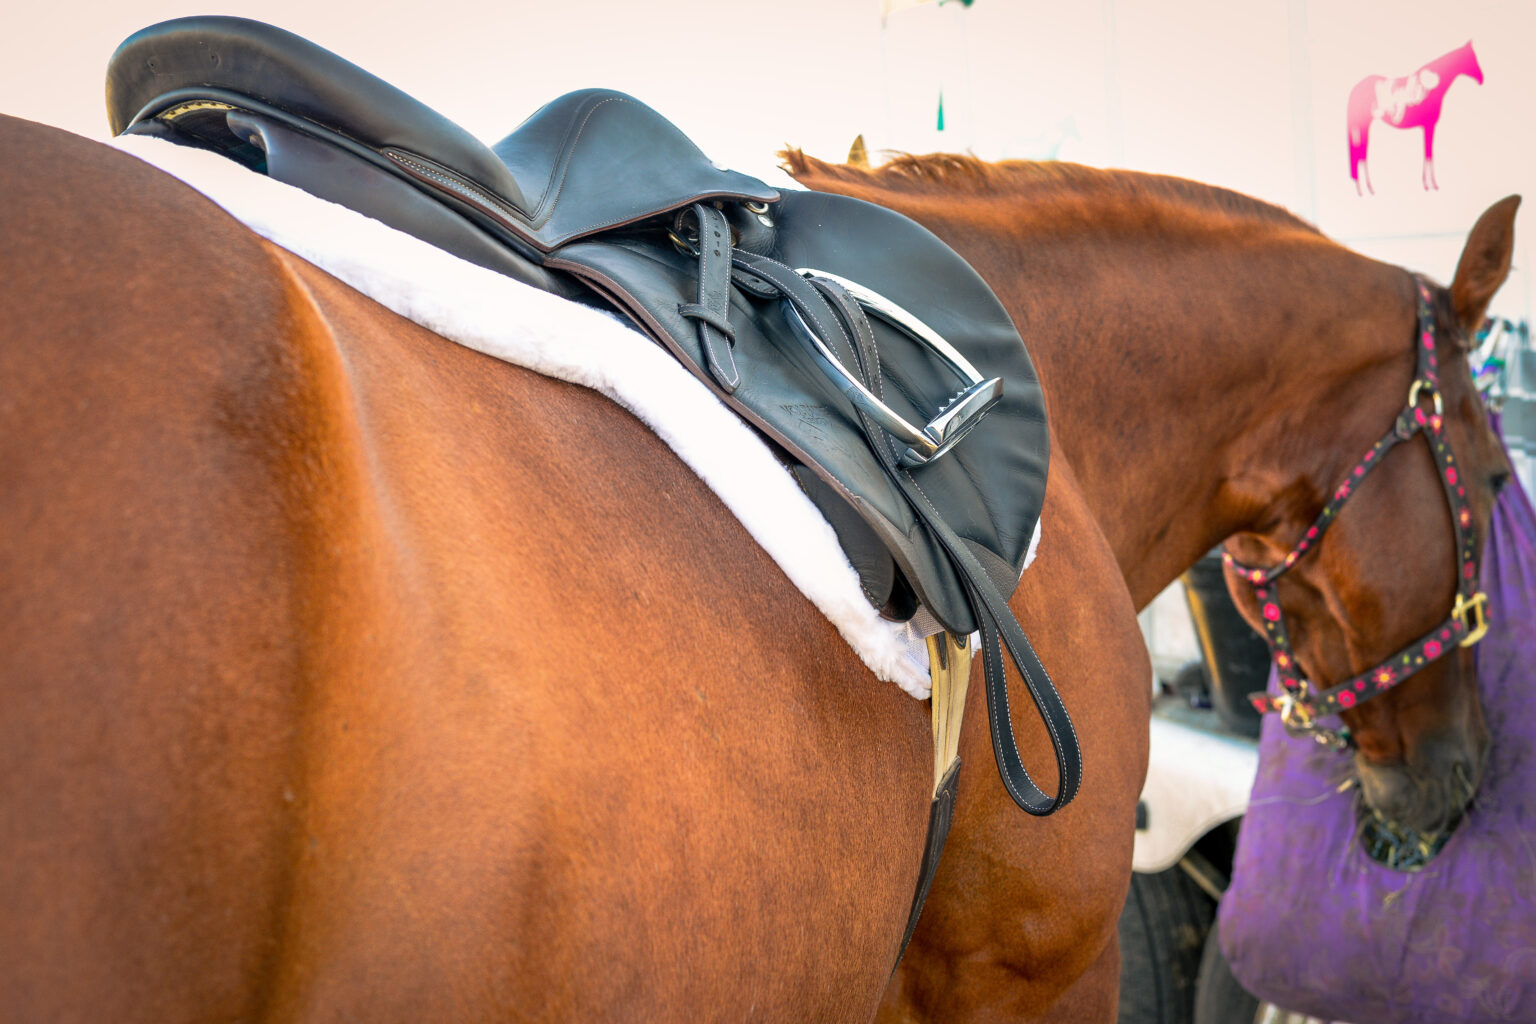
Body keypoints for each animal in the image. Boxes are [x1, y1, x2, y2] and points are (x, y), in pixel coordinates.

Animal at [1346, 40, 1484, 194]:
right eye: (1472, 57)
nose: (1481, 79)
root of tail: (1355, 89)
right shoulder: (1429, 125)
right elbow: (1429, 153)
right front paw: (1431, 184)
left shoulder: (1426, 126)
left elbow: (1427, 153)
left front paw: (1427, 183)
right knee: (1361, 154)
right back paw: (1366, 188)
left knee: (1360, 154)